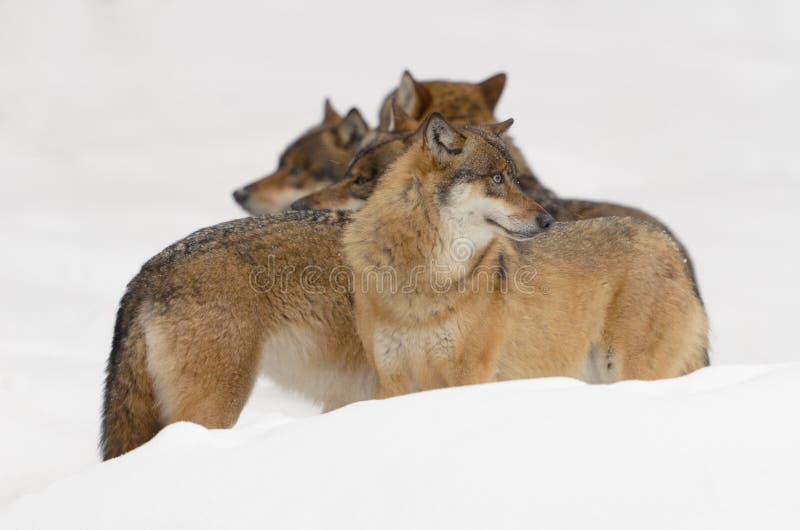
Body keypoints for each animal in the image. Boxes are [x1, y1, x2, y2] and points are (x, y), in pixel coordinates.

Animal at [343, 114, 709, 398]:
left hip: (628, 369)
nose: (547, 221)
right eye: (496, 178)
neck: (424, 283)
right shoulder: (390, 378)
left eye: (515, 179)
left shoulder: (468, 374)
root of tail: (670, 245)